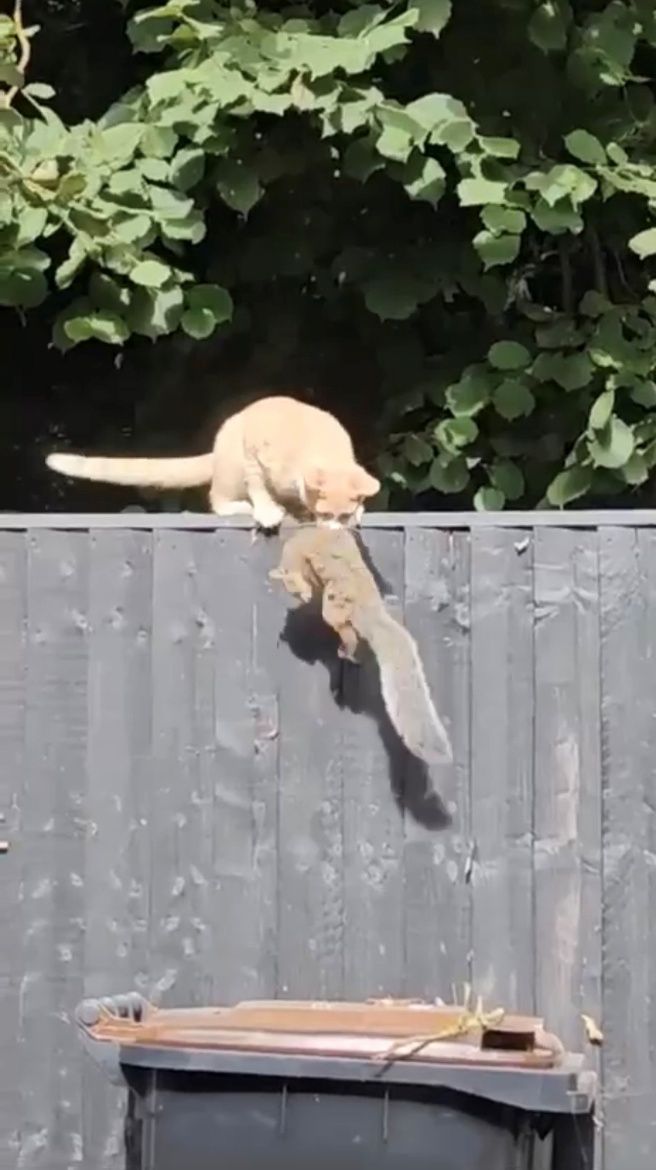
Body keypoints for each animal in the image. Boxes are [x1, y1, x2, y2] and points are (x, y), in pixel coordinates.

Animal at [270, 527, 452, 766]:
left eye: (294, 589)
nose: (304, 597)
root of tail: (371, 608)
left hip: (332, 610)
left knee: (348, 634)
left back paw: (346, 650)